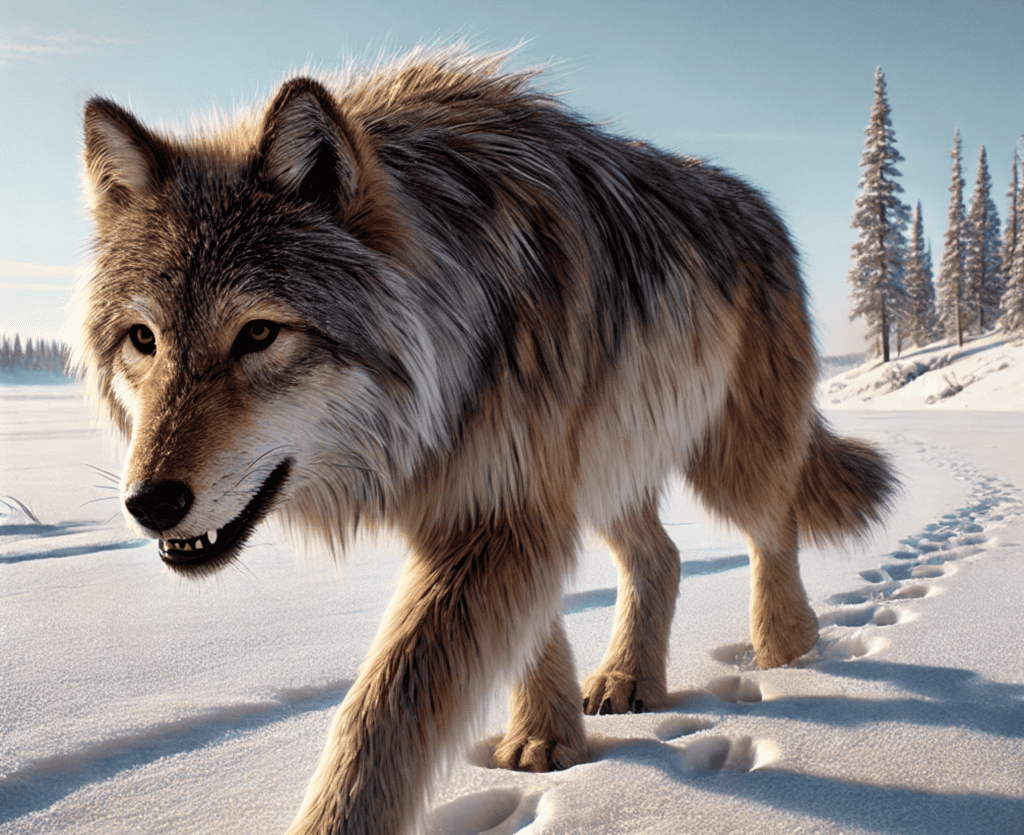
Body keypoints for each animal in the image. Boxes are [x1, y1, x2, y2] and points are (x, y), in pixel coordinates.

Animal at [74, 49, 896, 834]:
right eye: (143, 339)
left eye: (258, 333)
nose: (149, 503)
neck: (460, 338)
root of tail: (763, 208)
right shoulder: (477, 499)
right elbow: (530, 634)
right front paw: (546, 743)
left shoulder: (501, 506)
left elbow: (380, 711)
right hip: (605, 467)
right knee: (661, 555)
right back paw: (628, 680)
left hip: (726, 458)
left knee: (773, 527)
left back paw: (788, 652)